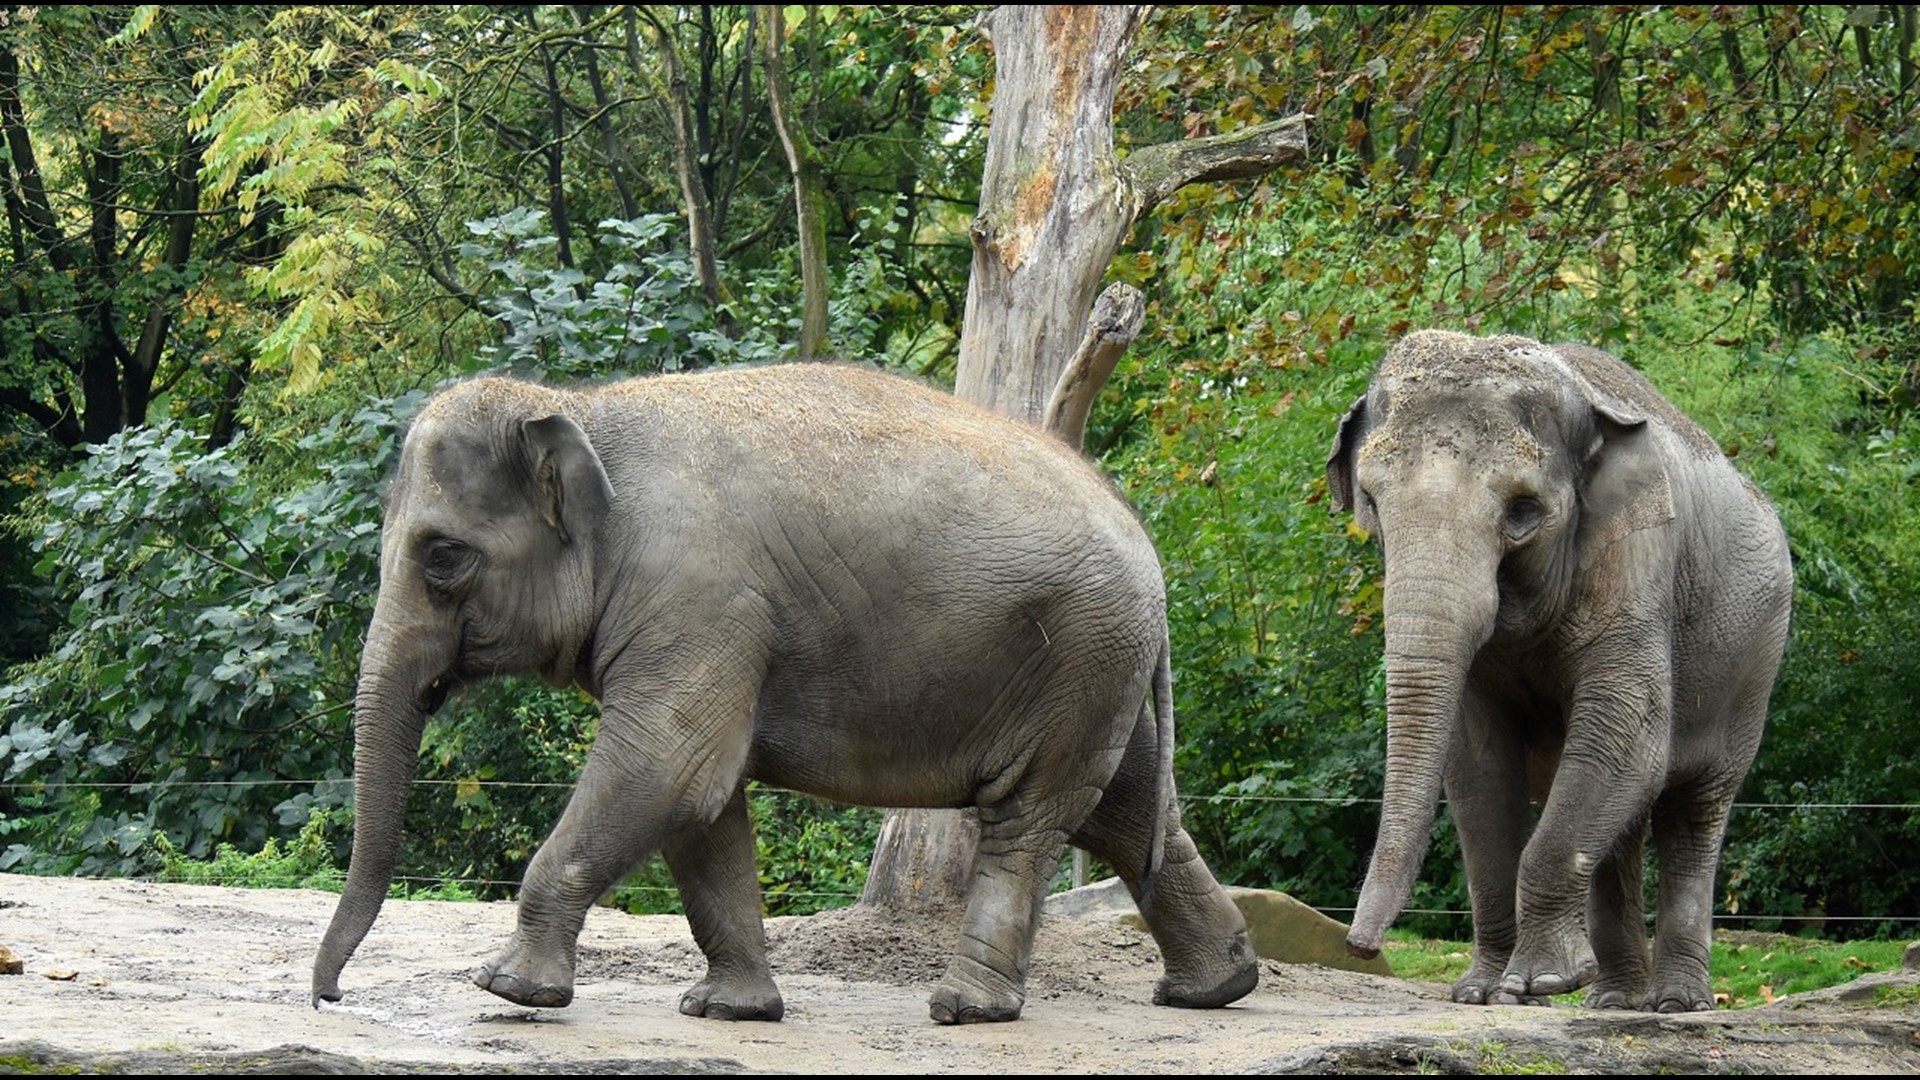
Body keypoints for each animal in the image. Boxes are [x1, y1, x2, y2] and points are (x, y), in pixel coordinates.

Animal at [310, 362, 1257, 1025]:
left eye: (443, 558)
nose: (330, 999)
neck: (584, 410)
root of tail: (1146, 543)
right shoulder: (709, 621)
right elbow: (702, 802)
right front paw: (728, 1012)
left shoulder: (698, 596)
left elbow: (670, 768)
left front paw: (509, 992)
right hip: (1099, 664)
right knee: (1128, 809)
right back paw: (1215, 989)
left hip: (1082, 649)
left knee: (1029, 818)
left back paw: (965, 1010)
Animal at [1325, 330, 1791, 1012]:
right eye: (1370, 502)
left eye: (1523, 512)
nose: (1360, 947)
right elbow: (1479, 766)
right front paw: (1485, 993)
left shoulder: (1637, 560)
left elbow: (1630, 735)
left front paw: (1540, 982)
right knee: (1619, 813)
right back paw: (1614, 1001)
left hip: (1753, 663)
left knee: (1692, 807)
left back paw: (1675, 1005)